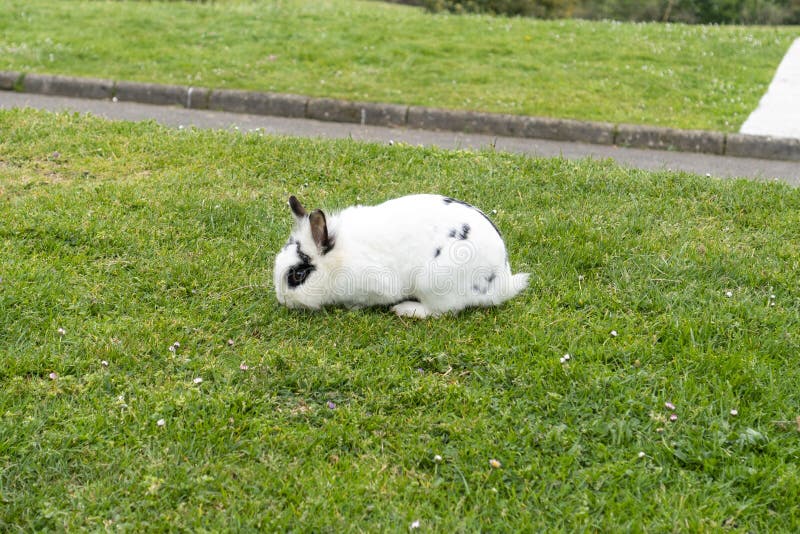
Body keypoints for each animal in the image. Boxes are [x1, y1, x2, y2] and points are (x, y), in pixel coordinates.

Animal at [273, 194, 529, 318]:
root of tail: (501, 281)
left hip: (434, 284)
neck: (338, 260)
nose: (282, 300)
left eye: (297, 275)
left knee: (442, 312)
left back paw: (405, 310)